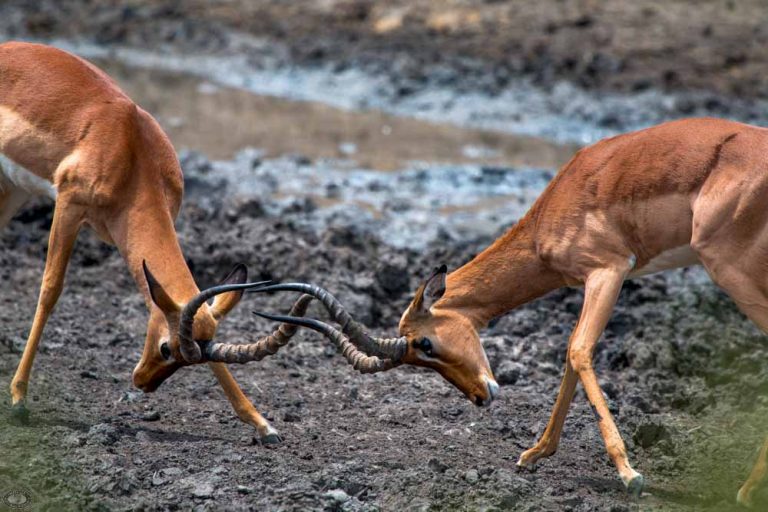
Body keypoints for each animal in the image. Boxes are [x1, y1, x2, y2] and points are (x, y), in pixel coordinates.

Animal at [0, 41, 350, 442]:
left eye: (188, 357)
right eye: (166, 348)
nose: (142, 383)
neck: (131, 151)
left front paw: (263, 424)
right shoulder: (69, 204)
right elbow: (50, 290)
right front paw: (19, 398)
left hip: (14, 190)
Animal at [252, 117, 768, 505]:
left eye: (426, 344)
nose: (481, 397)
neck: (555, 209)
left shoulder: (608, 270)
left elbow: (578, 351)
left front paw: (629, 474)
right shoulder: (594, 281)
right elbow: (569, 357)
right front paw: (534, 454)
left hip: (727, 268)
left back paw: (744, 491)